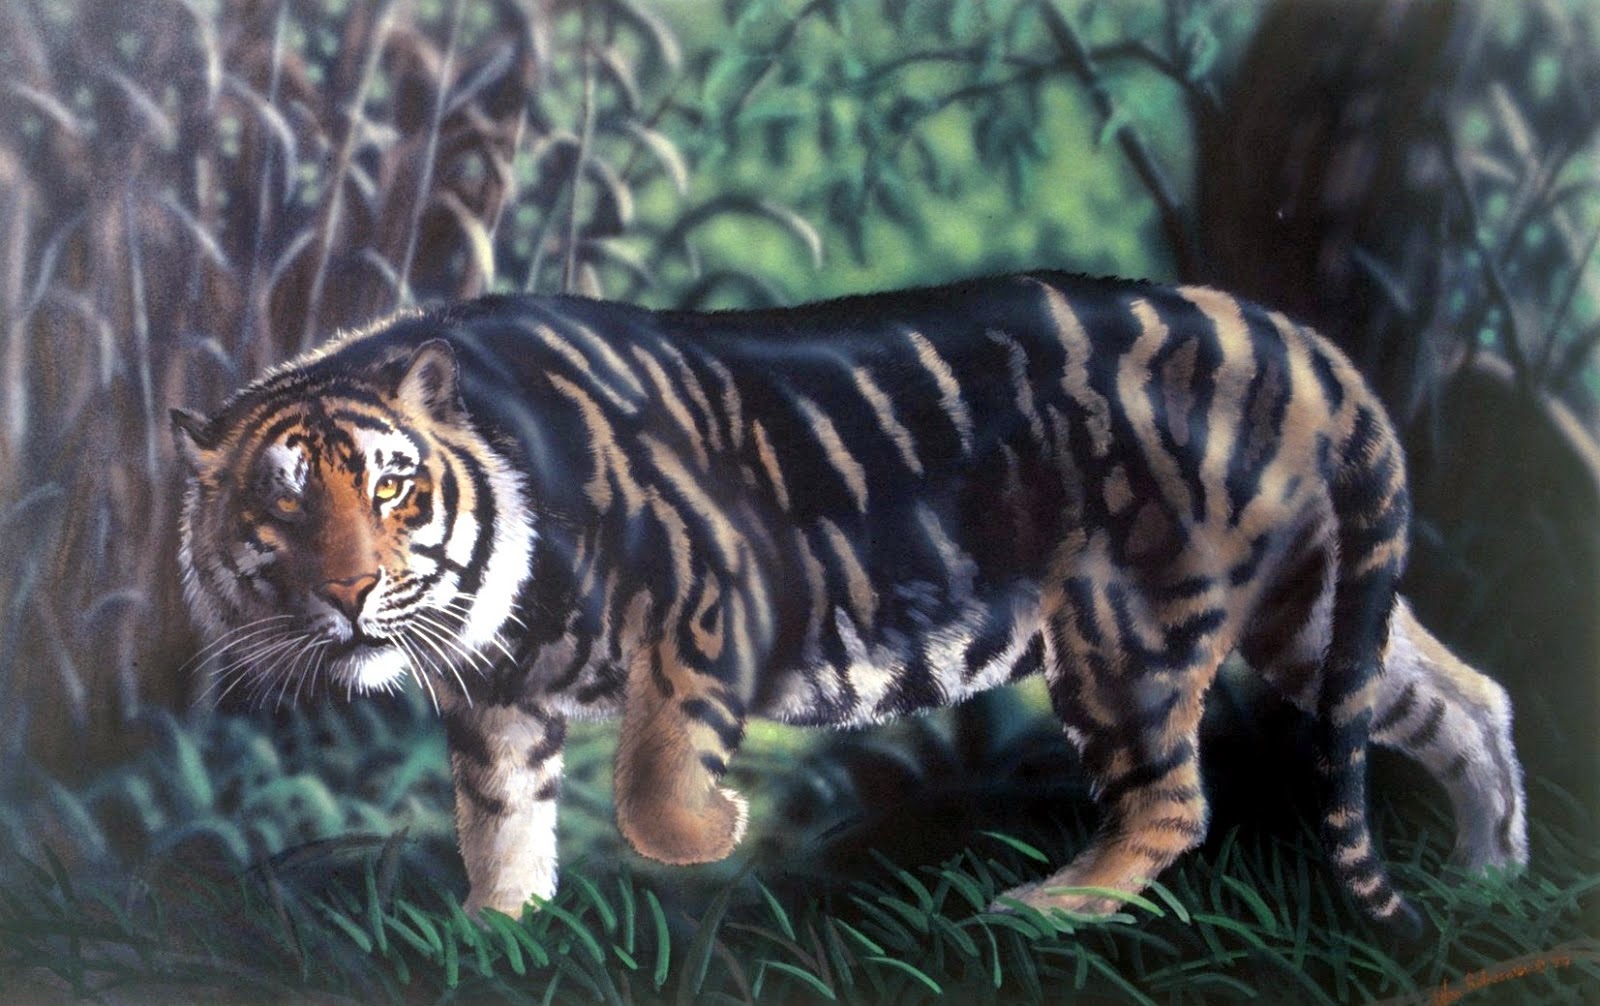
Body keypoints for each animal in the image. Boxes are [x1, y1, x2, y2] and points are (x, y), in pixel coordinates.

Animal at [173, 272, 1527, 938]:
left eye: (391, 489)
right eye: (280, 506)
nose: (351, 592)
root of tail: (1302, 341)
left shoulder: (711, 597)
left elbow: (652, 783)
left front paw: (716, 831)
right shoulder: (500, 699)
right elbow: (499, 816)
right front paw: (495, 930)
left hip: (1128, 632)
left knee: (1175, 800)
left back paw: (1048, 912)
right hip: (1310, 609)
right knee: (1470, 697)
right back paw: (1492, 875)